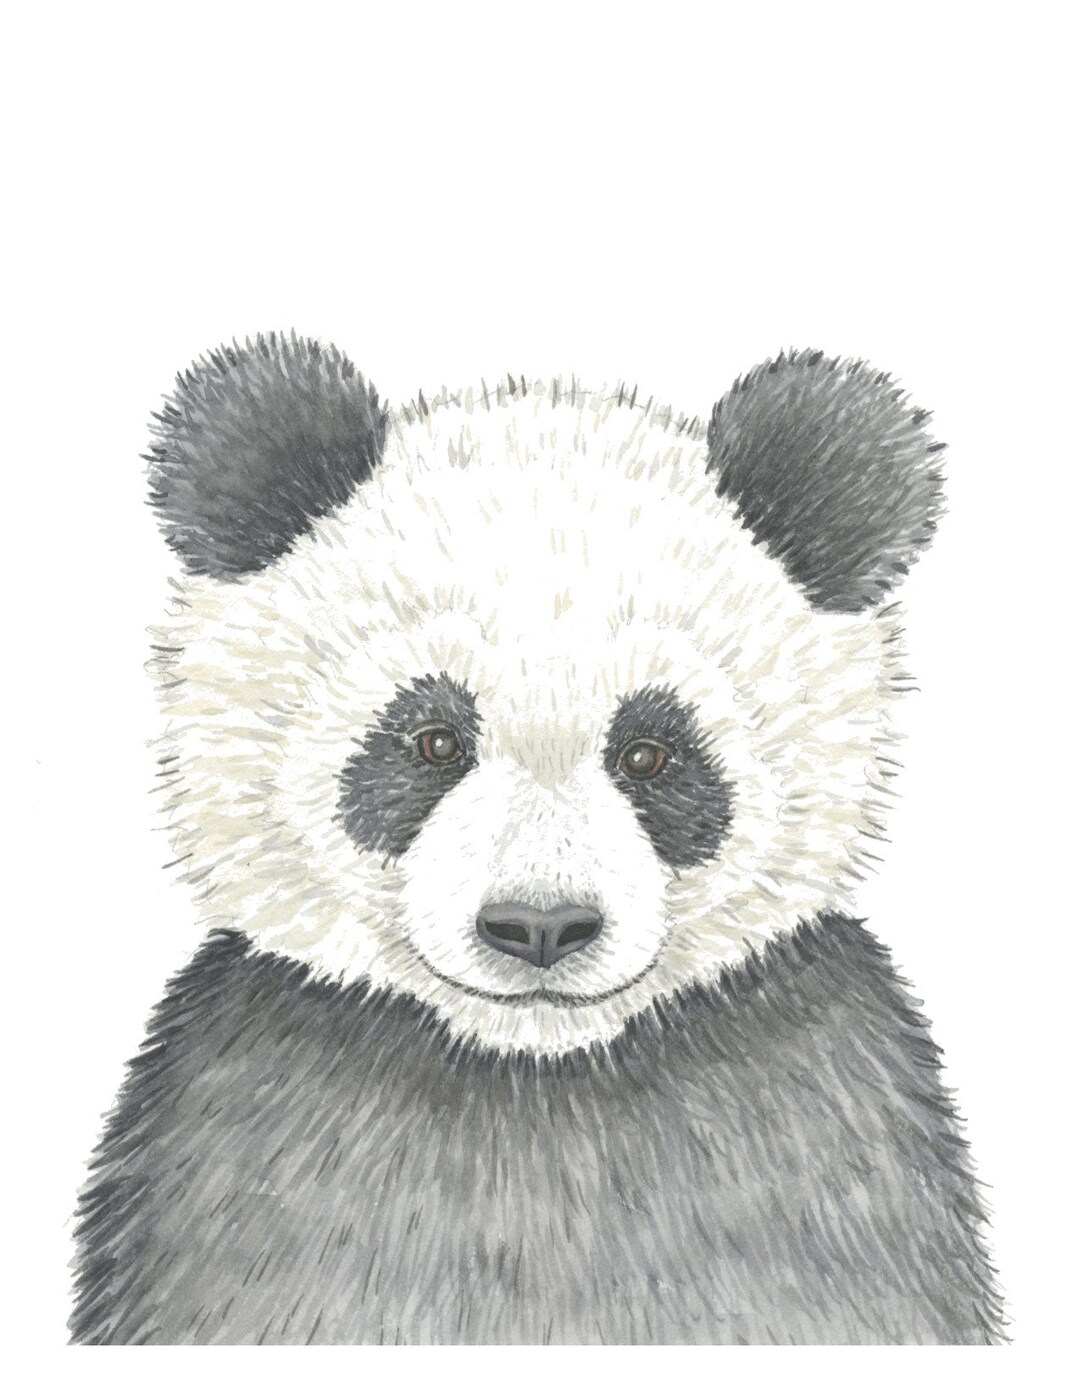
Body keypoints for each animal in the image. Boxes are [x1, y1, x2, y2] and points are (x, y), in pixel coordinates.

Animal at [70, 332, 1004, 1345]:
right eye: (433, 739)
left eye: (651, 753)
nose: (541, 927)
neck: (531, 1076)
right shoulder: (235, 1129)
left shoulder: (831, 1128)